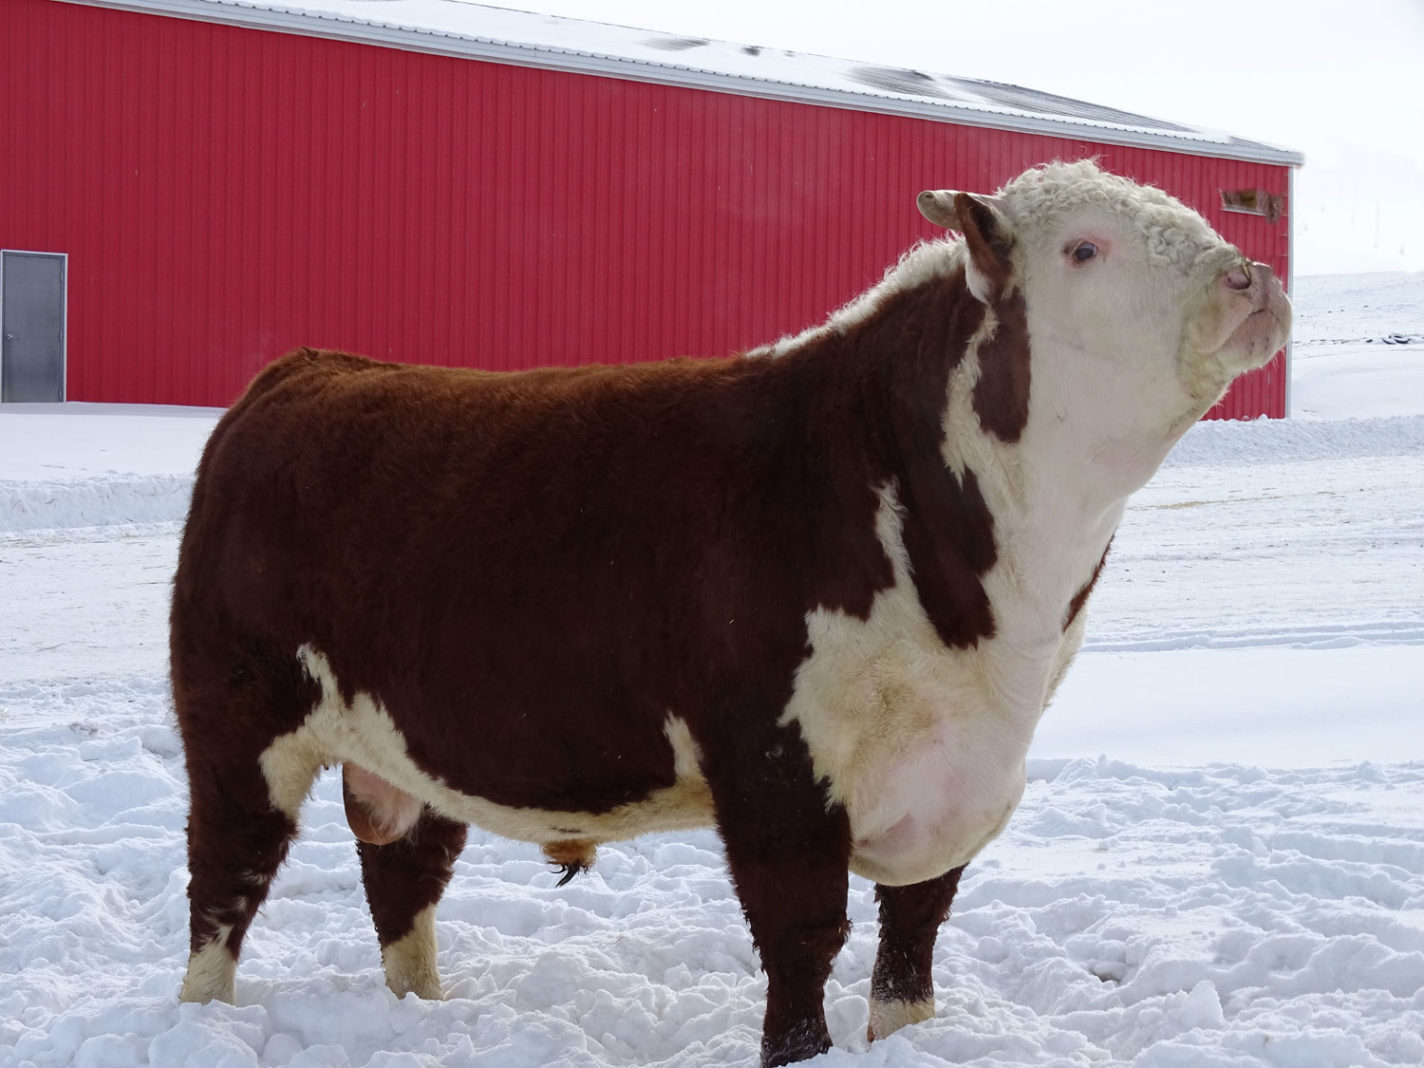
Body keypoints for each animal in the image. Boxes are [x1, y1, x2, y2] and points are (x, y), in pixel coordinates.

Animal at [171, 160, 1290, 1065]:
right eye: (1084, 247)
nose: (1252, 278)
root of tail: (307, 370)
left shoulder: (955, 778)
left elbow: (913, 939)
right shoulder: (774, 765)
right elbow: (802, 942)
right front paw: (798, 1050)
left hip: (408, 744)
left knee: (403, 874)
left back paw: (424, 1014)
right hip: (235, 720)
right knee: (225, 878)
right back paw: (202, 1018)